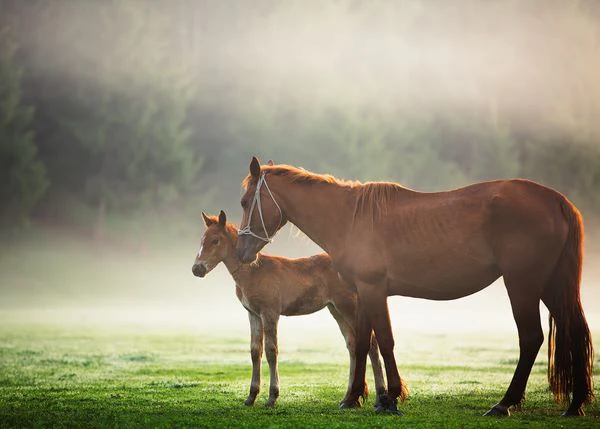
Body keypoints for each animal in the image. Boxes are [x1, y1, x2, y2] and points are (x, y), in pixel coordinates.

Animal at [193, 211, 390, 408]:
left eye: (215, 240)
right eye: (202, 240)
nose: (197, 269)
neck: (253, 272)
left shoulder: (270, 313)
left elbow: (271, 351)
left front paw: (272, 397)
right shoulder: (253, 314)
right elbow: (255, 351)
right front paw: (251, 396)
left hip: (349, 307)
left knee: (371, 344)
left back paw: (380, 396)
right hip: (336, 310)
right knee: (353, 345)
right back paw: (348, 398)